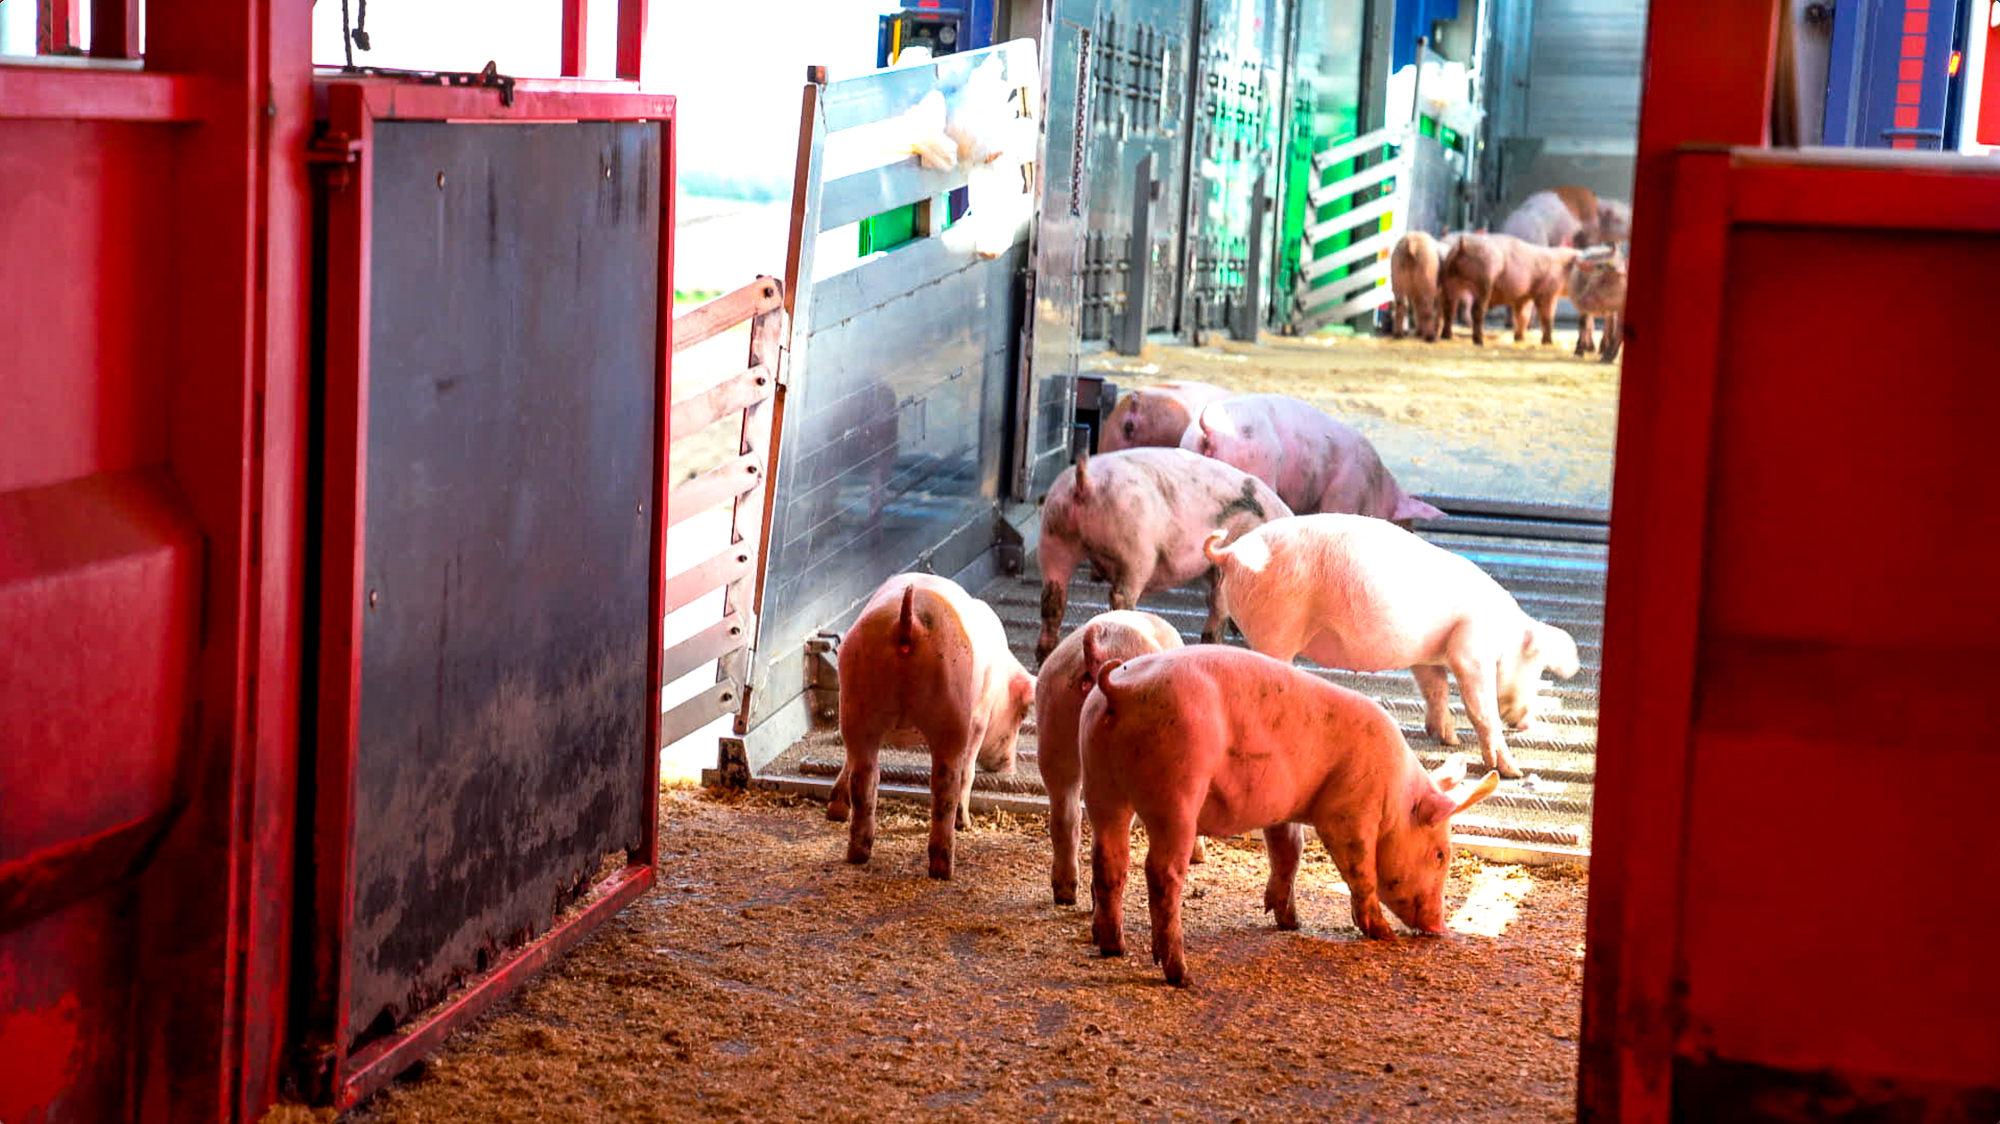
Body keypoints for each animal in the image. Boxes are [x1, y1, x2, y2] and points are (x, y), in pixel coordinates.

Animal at [827, 572, 1035, 880]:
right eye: (1022, 714)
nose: (1009, 767)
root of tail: (908, 622)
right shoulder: (980, 714)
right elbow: (969, 768)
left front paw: (836, 812)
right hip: (952, 709)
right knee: (948, 781)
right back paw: (945, 863)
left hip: (857, 698)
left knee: (864, 776)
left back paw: (857, 853)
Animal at [1036, 447, 1290, 662]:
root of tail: (1085, 482)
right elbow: (1219, 606)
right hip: (1135, 550)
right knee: (1120, 596)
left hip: (1053, 536)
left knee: (1052, 599)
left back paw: (1045, 655)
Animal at [1080, 644, 1502, 985]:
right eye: (1440, 855)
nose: (1440, 926)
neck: (1396, 796)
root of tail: (1121, 689)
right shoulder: (1348, 810)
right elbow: (1361, 870)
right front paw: (1383, 935)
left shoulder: (1283, 809)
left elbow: (1289, 852)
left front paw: (1290, 922)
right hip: (1177, 786)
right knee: (1161, 870)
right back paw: (1180, 974)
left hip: (1098, 776)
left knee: (1108, 857)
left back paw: (1112, 946)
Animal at [1204, 513, 1581, 779]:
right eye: (1537, 664)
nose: (1526, 721)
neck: (1504, 632)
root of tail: (1230, 553)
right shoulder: (1471, 652)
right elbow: (1481, 710)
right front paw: (1511, 772)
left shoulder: (1427, 656)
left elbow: (1435, 689)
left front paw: (1448, 740)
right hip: (1276, 626)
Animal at [1438, 232, 1578, 347]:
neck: (1561, 267)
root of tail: (1463, 246)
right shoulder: (1547, 292)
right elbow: (1546, 317)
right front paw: (1548, 342)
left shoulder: (1523, 297)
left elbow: (1522, 315)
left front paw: (1520, 339)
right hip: (1484, 278)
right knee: (1476, 310)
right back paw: (1479, 341)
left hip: (1449, 278)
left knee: (1449, 307)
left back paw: (1446, 336)